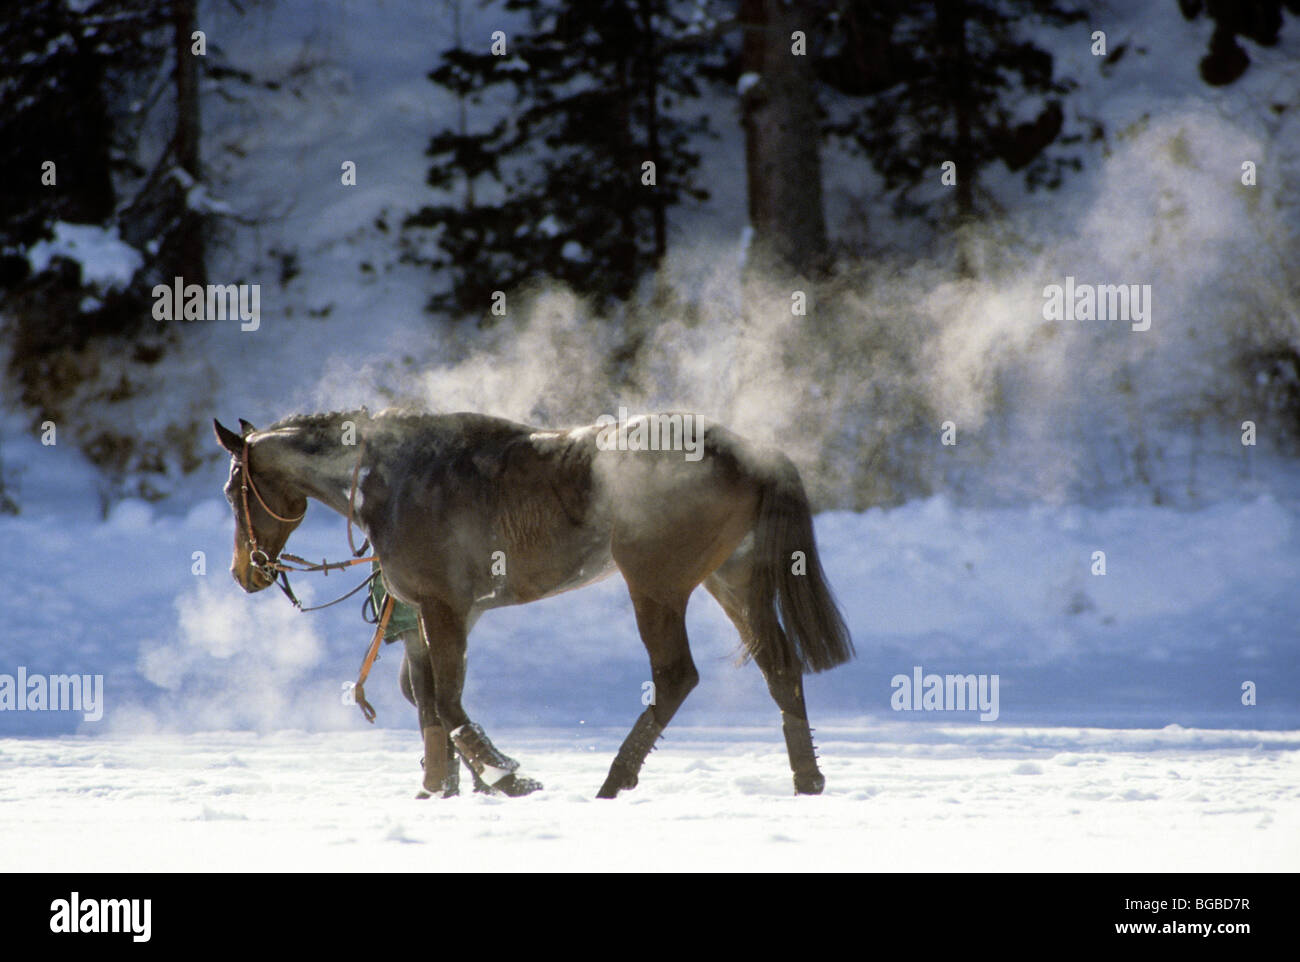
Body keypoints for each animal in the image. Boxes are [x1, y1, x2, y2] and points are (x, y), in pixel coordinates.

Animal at [213, 408, 853, 798]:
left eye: (230, 489)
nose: (245, 573)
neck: (393, 479)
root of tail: (749, 451)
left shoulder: (444, 608)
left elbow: (445, 703)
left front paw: (501, 776)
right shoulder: (435, 616)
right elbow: (428, 702)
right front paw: (452, 782)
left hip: (656, 584)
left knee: (675, 677)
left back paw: (614, 781)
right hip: (732, 580)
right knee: (779, 668)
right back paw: (807, 780)